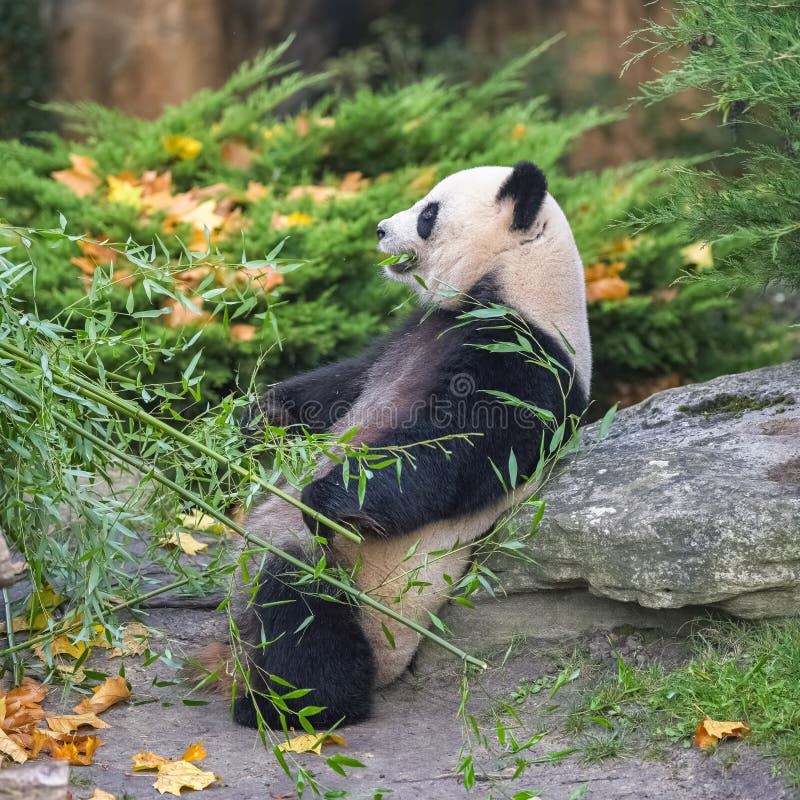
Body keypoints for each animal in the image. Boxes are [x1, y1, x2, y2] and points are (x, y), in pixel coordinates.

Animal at [203, 160, 591, 730]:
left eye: (428, 213)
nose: (381, 229)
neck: (518, 279)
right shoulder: (411, 335)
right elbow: (339, 388)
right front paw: (249, 420)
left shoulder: (526, 363)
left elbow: (451, 452)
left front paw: (324, 498)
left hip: (369, 598)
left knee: (301, 603)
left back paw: (290, 706)